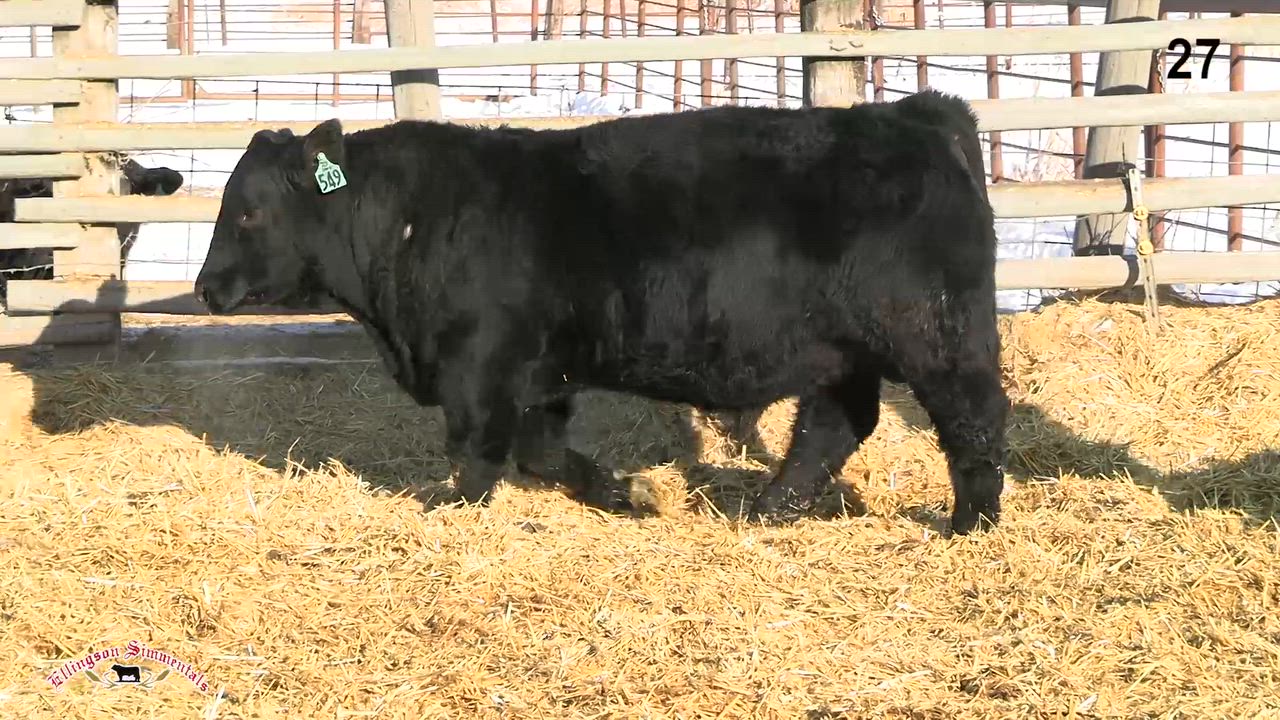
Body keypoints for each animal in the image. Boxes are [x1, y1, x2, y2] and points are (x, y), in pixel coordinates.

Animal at [193, 89, 1010, 534]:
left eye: (248, 212)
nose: (203, 288)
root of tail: (916, 115)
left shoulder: (480, 370)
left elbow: (477, 456)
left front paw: (452, 515)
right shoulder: (539, 377)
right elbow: (541, 453)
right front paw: (627, 494)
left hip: (938, 335)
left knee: (974, 419)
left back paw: (969, 524)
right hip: (843, 350)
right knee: (832, 425)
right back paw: (771, 507)